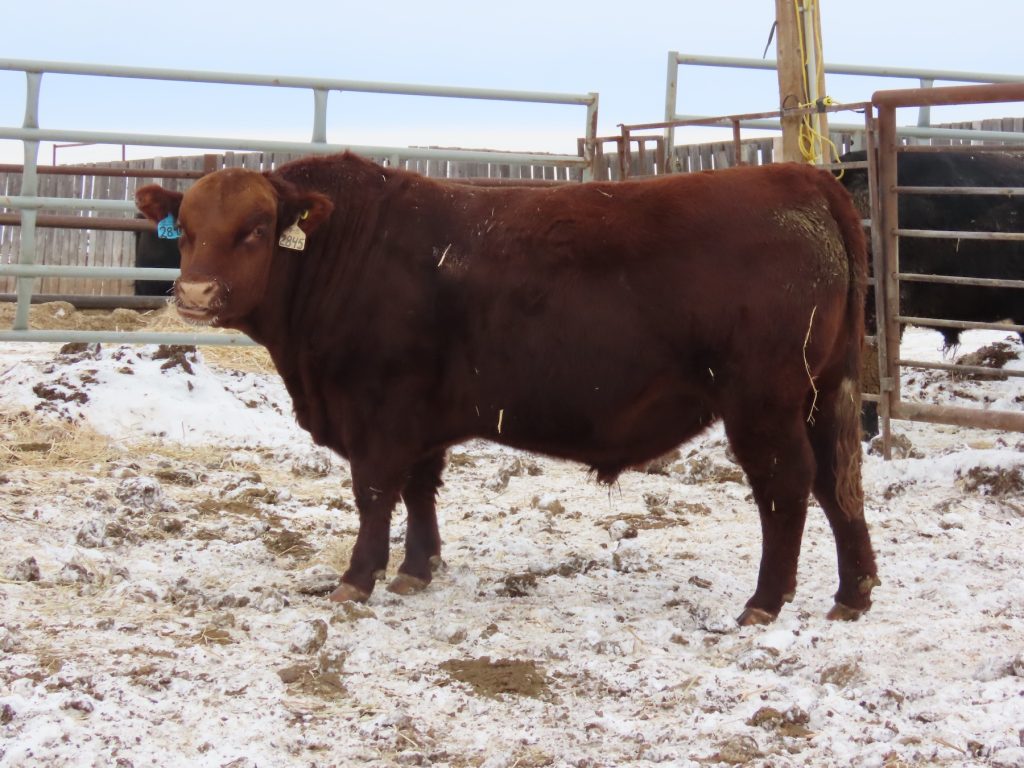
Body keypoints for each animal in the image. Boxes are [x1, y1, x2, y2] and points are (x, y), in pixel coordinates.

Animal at [136, 152, 879, 626]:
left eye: (256, 230)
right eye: (187, 232)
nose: (194, 294)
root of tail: (802, 177)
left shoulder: (378, 410)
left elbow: (375, 494)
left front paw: (356, 579)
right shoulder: (420, 417)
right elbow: (420, 489)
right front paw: (417, 569)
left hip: (764, 402)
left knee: (787, 487)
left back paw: (764, 602)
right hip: (824, 392)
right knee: (838, 480)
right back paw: (853, 593)